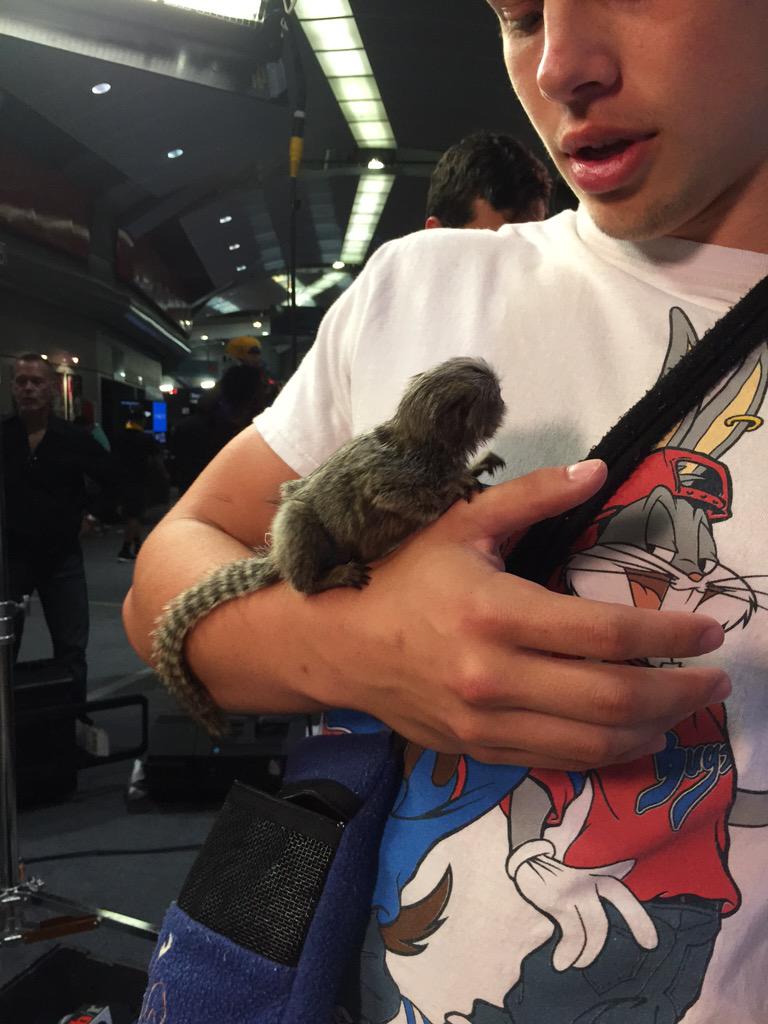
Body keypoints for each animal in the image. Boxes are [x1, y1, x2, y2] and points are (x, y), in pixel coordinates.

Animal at [151, 356, 506, 734]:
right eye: (494, 397)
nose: (503, 402)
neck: (426, 443)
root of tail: (278, 557)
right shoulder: (399, 474)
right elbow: (392, 494)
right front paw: (453, 489)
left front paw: (473, 468)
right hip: (301, 540)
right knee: (297, 519)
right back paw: (320, 580)